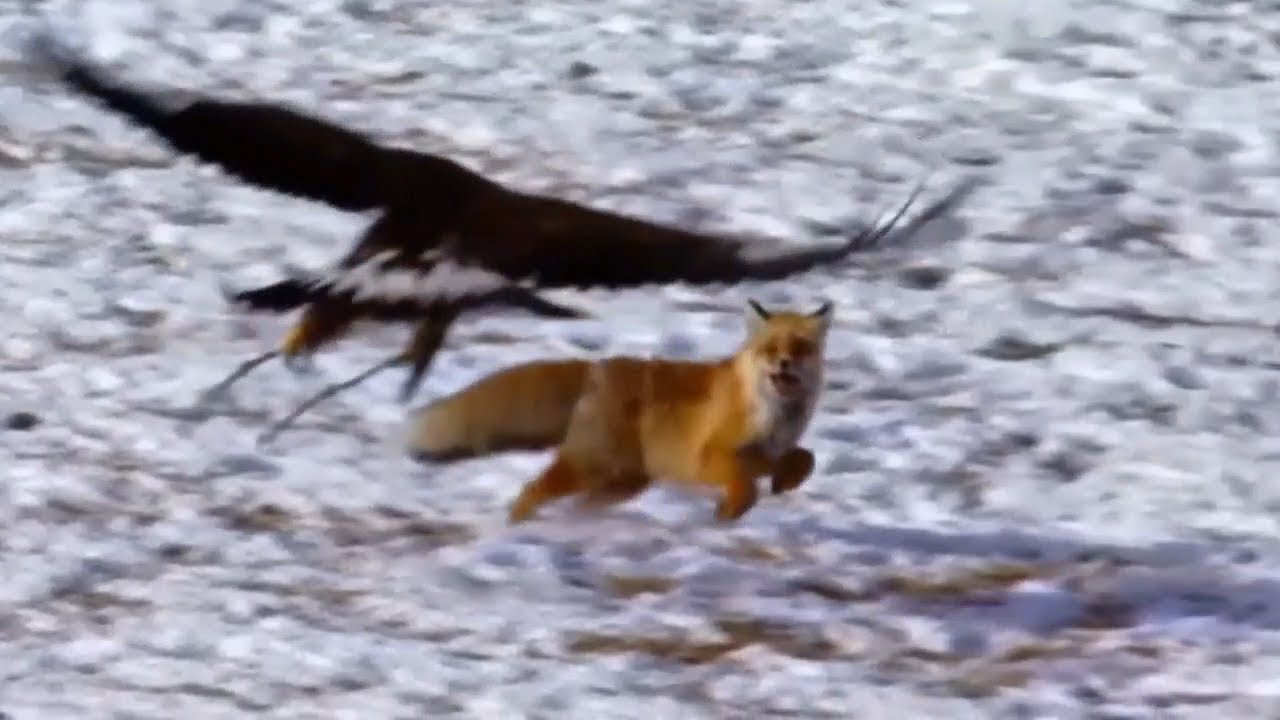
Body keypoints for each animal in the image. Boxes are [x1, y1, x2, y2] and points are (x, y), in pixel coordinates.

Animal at [406, 298, 834, 523]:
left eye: (800, 348)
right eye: (771, 349)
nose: (783, 364)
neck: (775, 417)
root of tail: (596, 366)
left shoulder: (771, 451)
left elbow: (805, 458)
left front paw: (784, 482)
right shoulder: (708, 455)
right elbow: (744, 485)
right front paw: (731, 509)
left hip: (620, 485)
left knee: (575, 508)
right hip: (592, 470)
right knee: (531, 491)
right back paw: (518, 530)